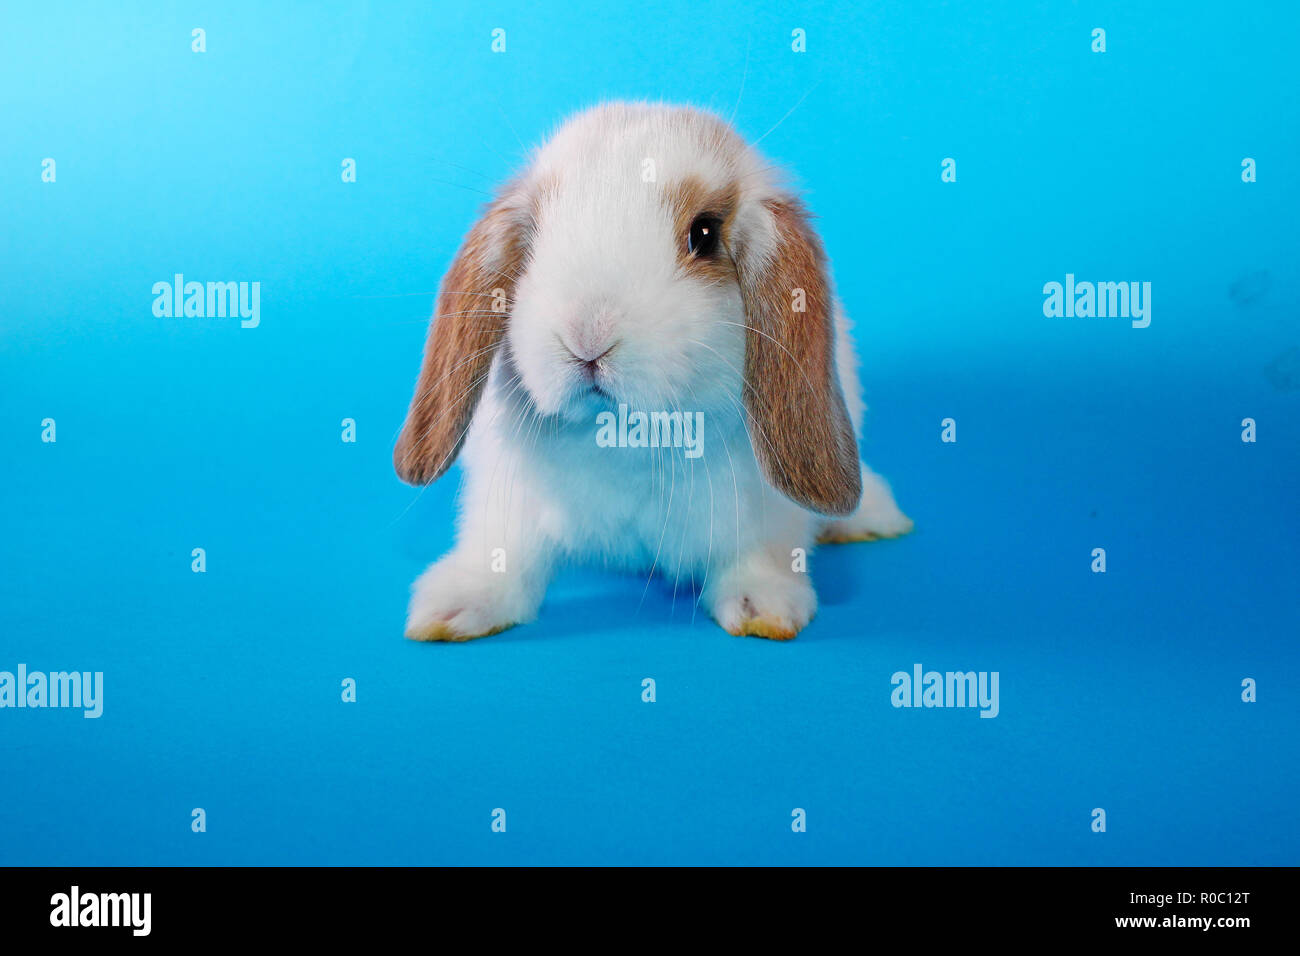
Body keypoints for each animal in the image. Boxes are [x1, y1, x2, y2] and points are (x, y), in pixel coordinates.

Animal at [394, 101, 912, 641]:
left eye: (704, 233)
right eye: (533, 234)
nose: (587, 336)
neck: (622, 440)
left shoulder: (761, 515)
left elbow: (756, 557)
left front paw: (763, 607)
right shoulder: (508, 500)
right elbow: (502, 555)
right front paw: (455, 607)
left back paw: (874, 516)